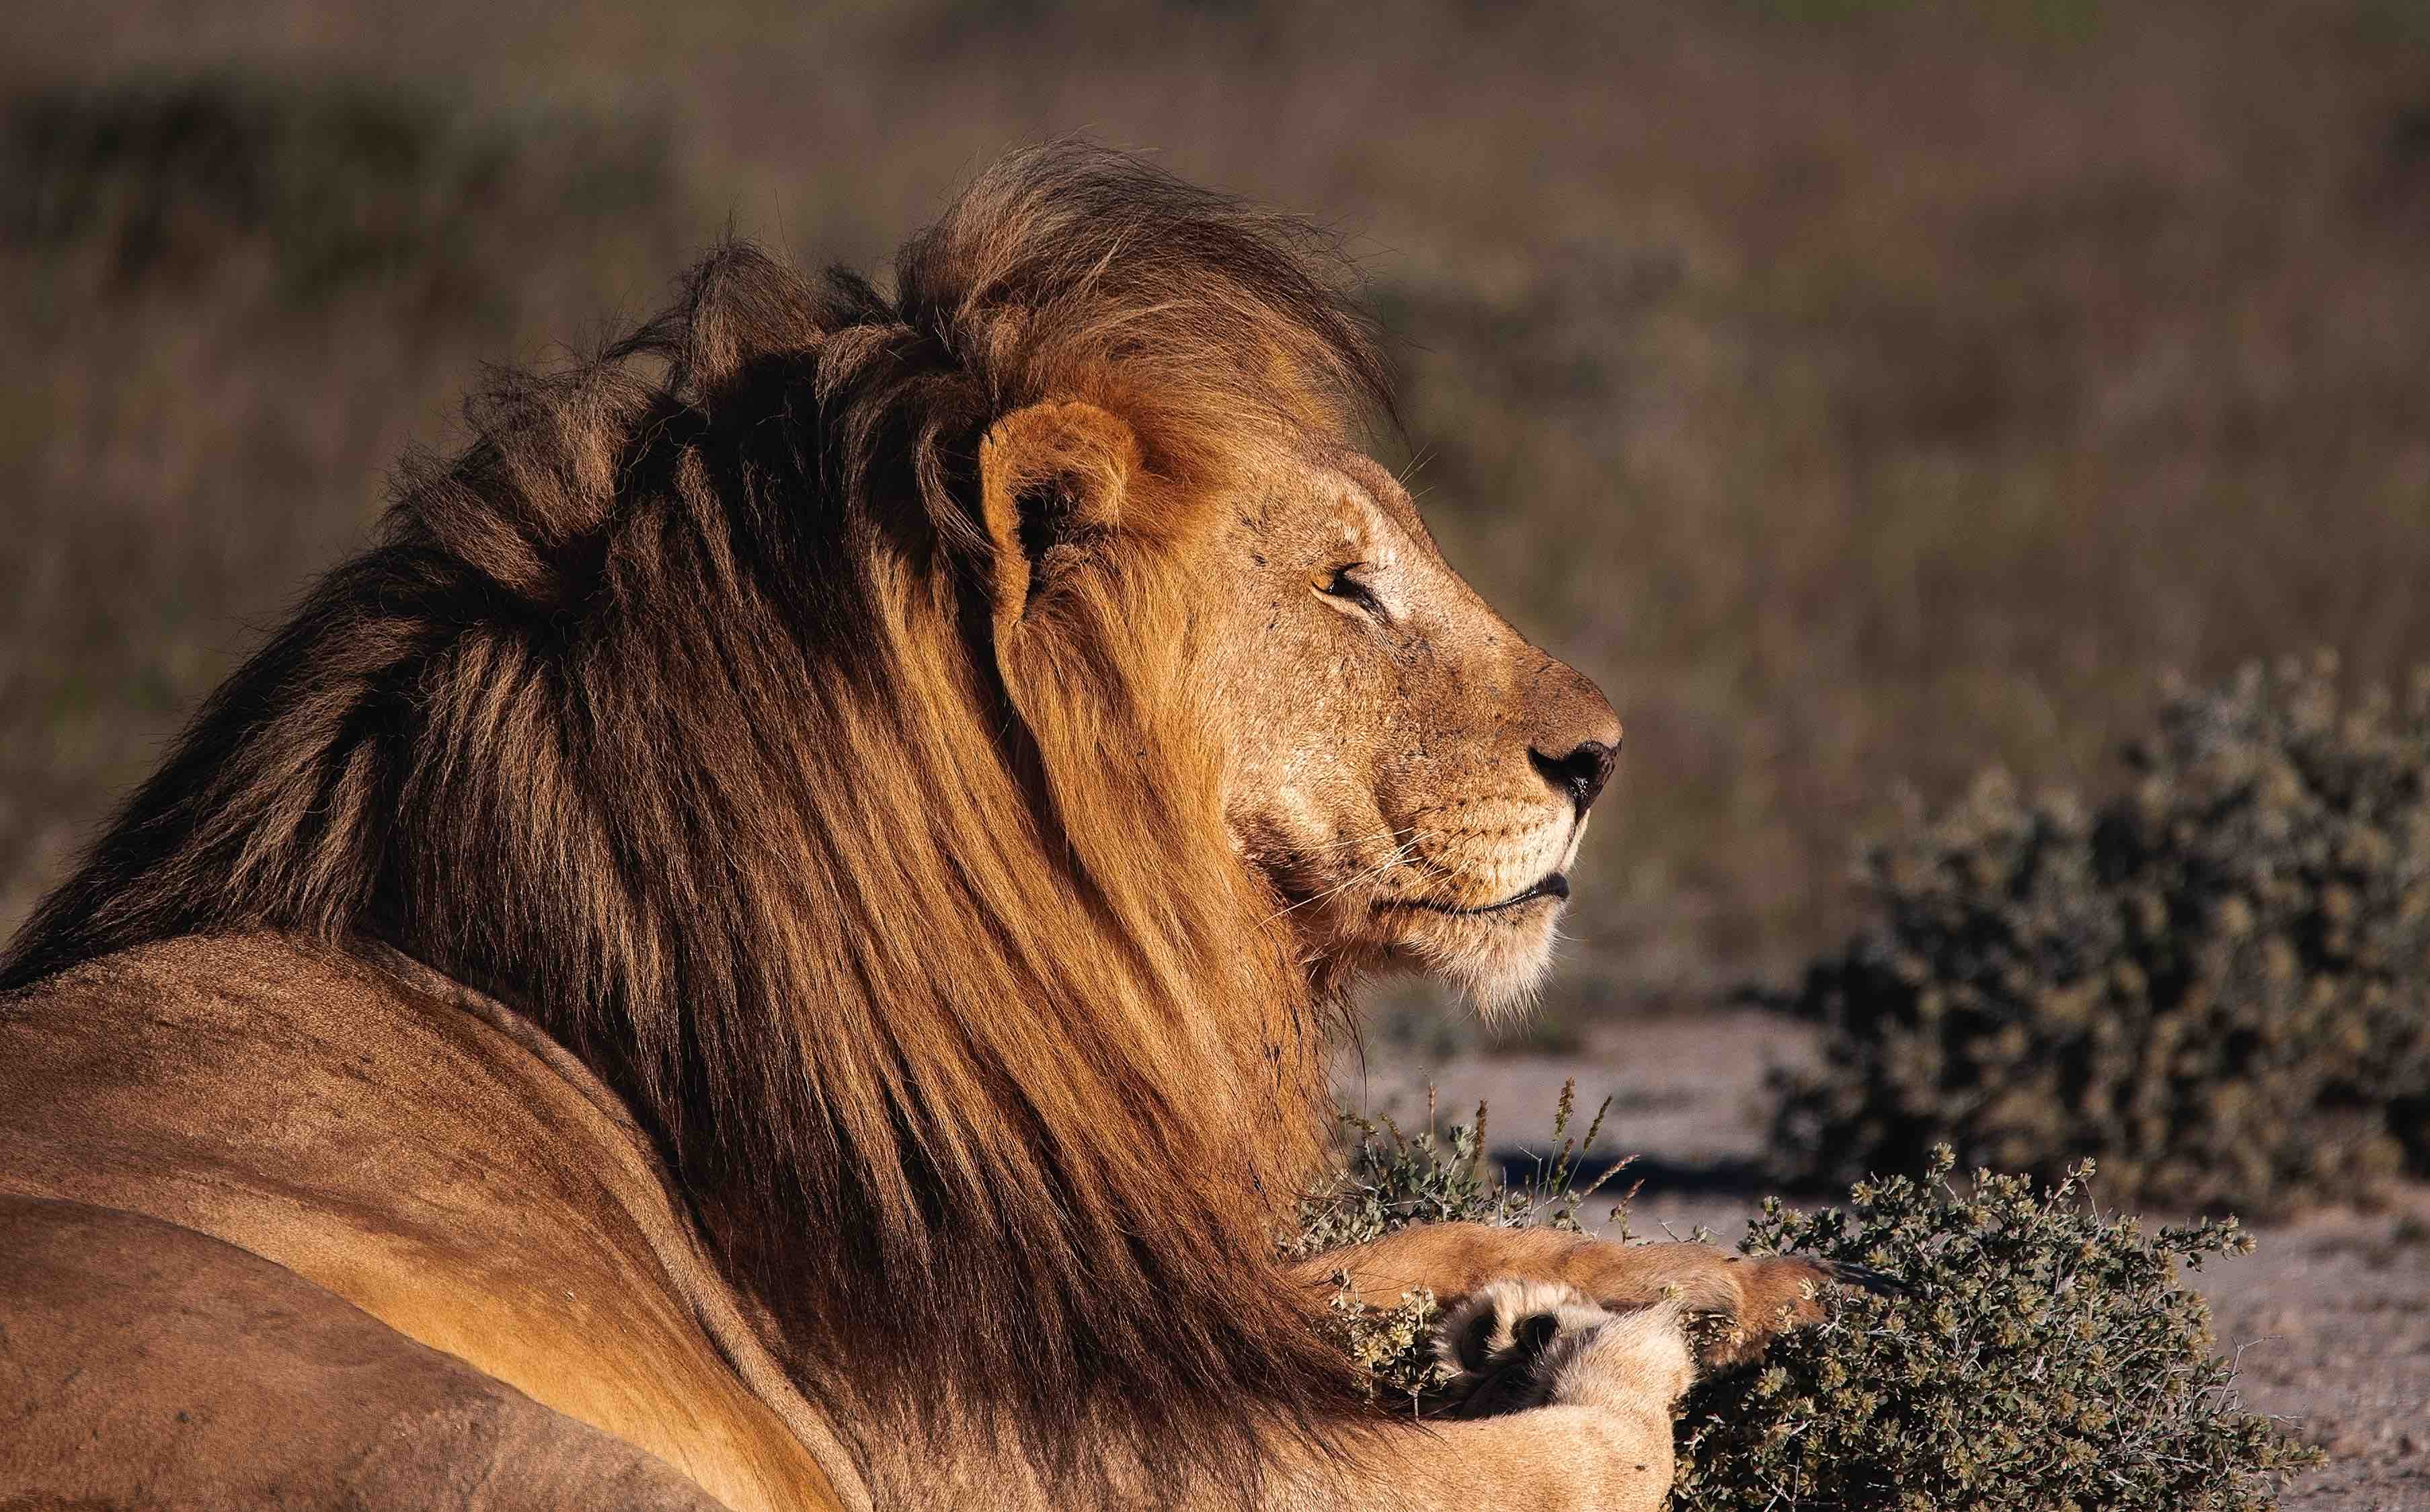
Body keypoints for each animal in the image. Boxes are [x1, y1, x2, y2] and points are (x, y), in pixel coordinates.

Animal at [0, 146, 1842, 1512]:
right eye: (1343, 583)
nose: (1602, 757)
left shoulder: (1118, 1275)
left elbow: (1406, 1237)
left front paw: (1726, 1278)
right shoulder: (1058, 1441)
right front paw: (1613, 1332)